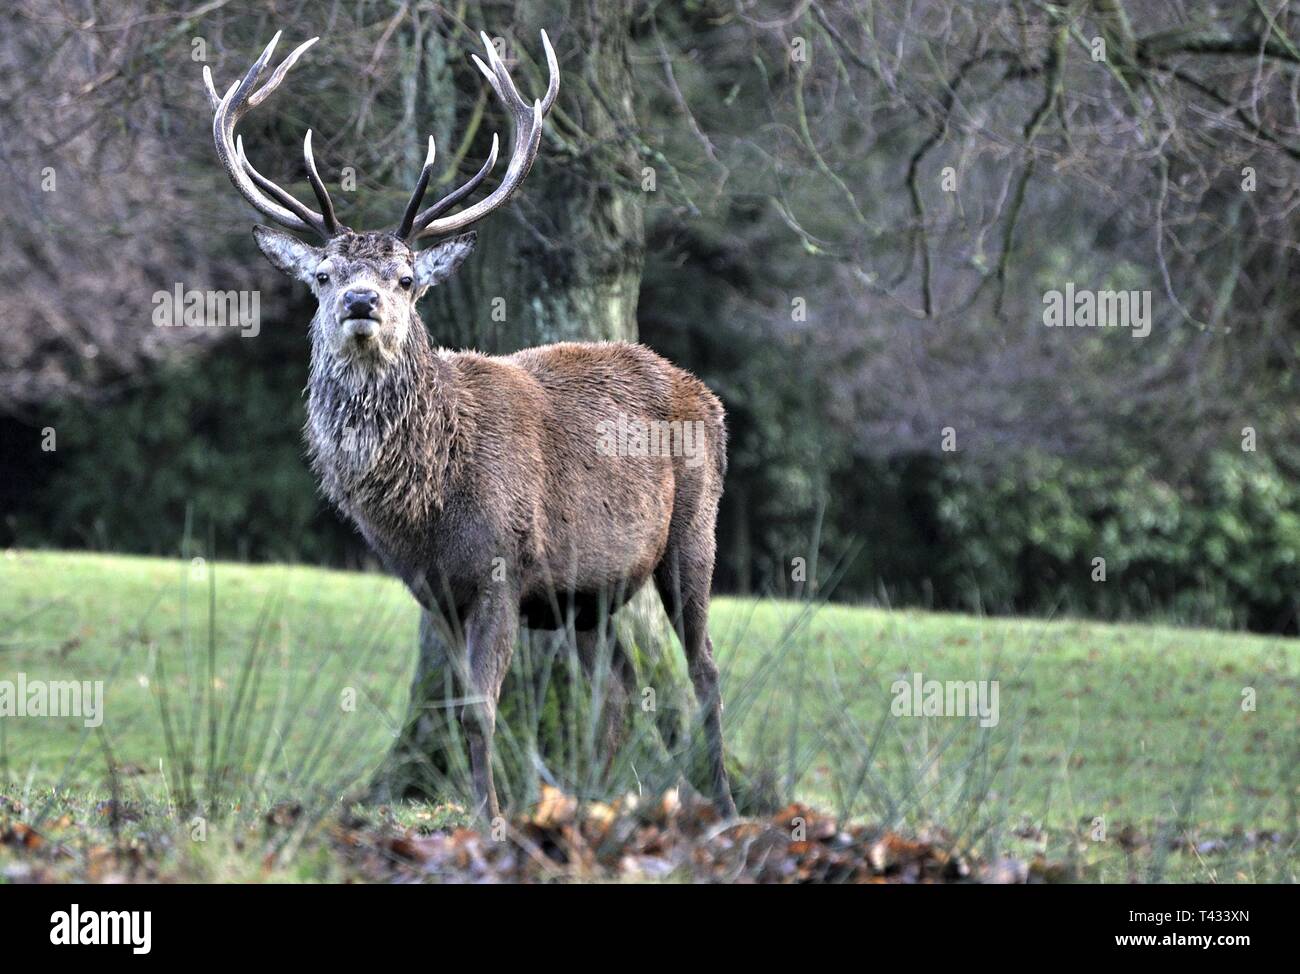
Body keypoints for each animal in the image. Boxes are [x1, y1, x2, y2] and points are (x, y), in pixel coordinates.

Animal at [203, 30, 736, 820]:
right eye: (324, 276)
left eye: (406, 278)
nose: (361, 302)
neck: (426, 501)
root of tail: (705, 394)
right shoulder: (433, 591)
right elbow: (458, 709)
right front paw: (484, 808)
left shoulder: (502, 568)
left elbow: (484, 709)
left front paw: (488, 819)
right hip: (589, 593)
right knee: (613, 693)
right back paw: (592, 801)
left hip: (694, 530)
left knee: (704, 672)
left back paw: (723, 805)